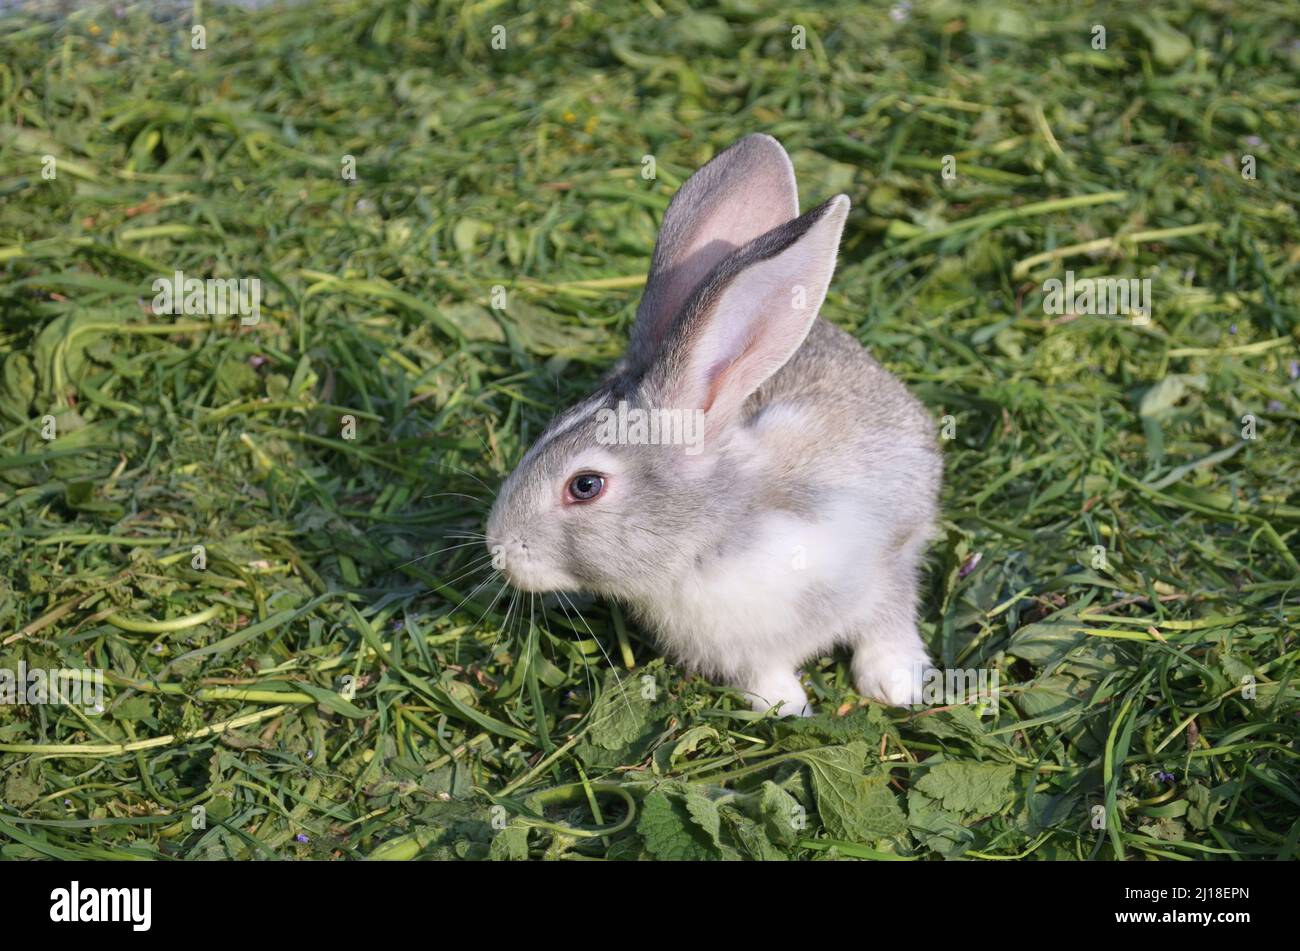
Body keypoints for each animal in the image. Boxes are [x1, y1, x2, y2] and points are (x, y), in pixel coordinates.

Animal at [486, 134, 941, 716]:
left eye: (585, 485)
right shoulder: (742, 651)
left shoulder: (889, 557)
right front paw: (786, 706)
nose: (500, 552)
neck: (712, 538)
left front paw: (896, 684)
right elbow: (763, 673)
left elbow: (888, 620)